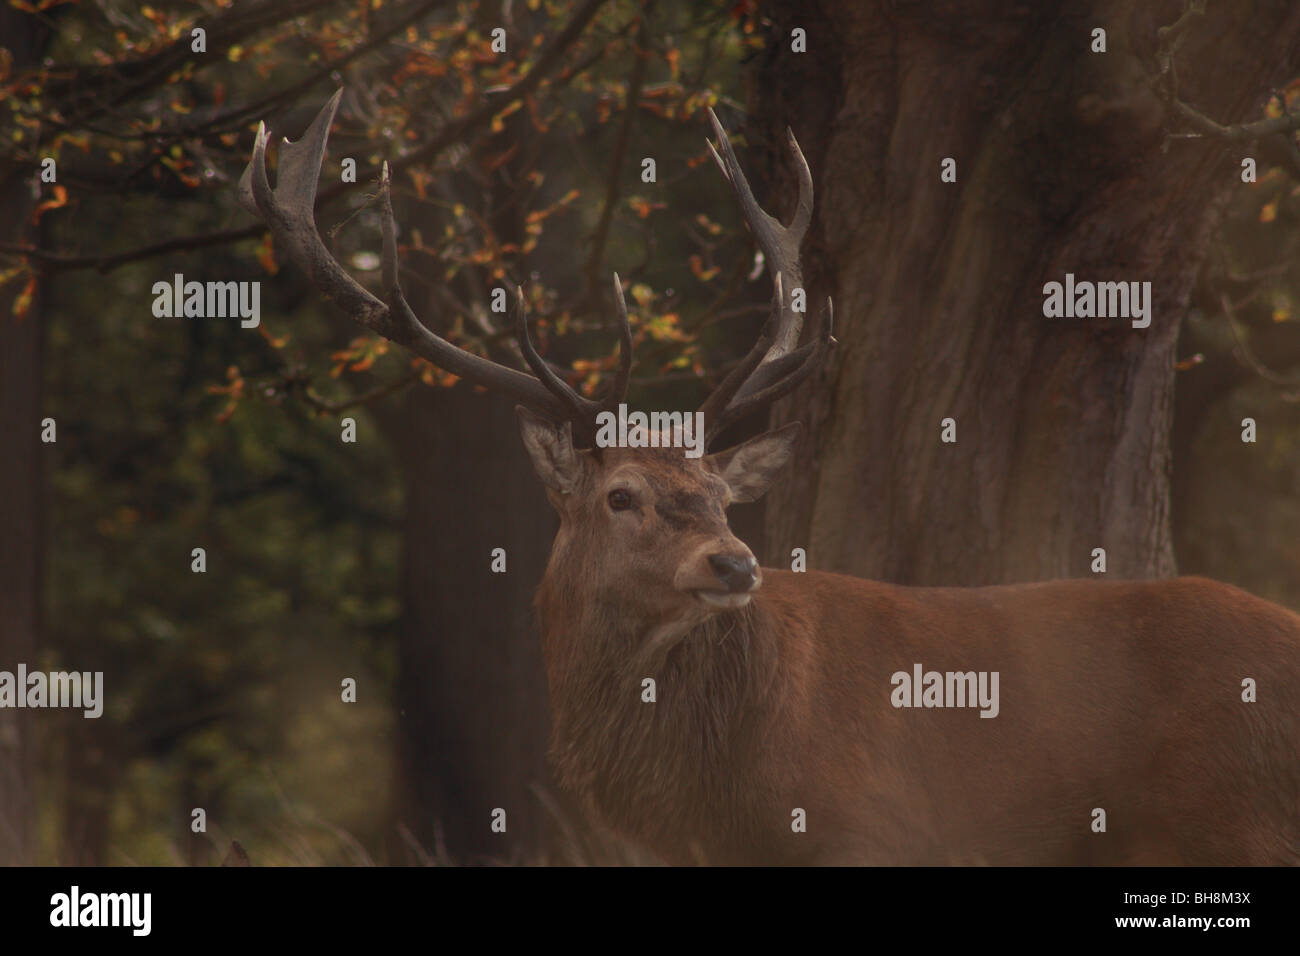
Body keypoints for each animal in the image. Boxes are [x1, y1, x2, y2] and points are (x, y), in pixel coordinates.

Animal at [239, 90, 1300, 866]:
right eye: (621, 494)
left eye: (718, 493)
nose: (736, 562)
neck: (720, 800)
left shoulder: (875, 831)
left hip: (1235, 821)